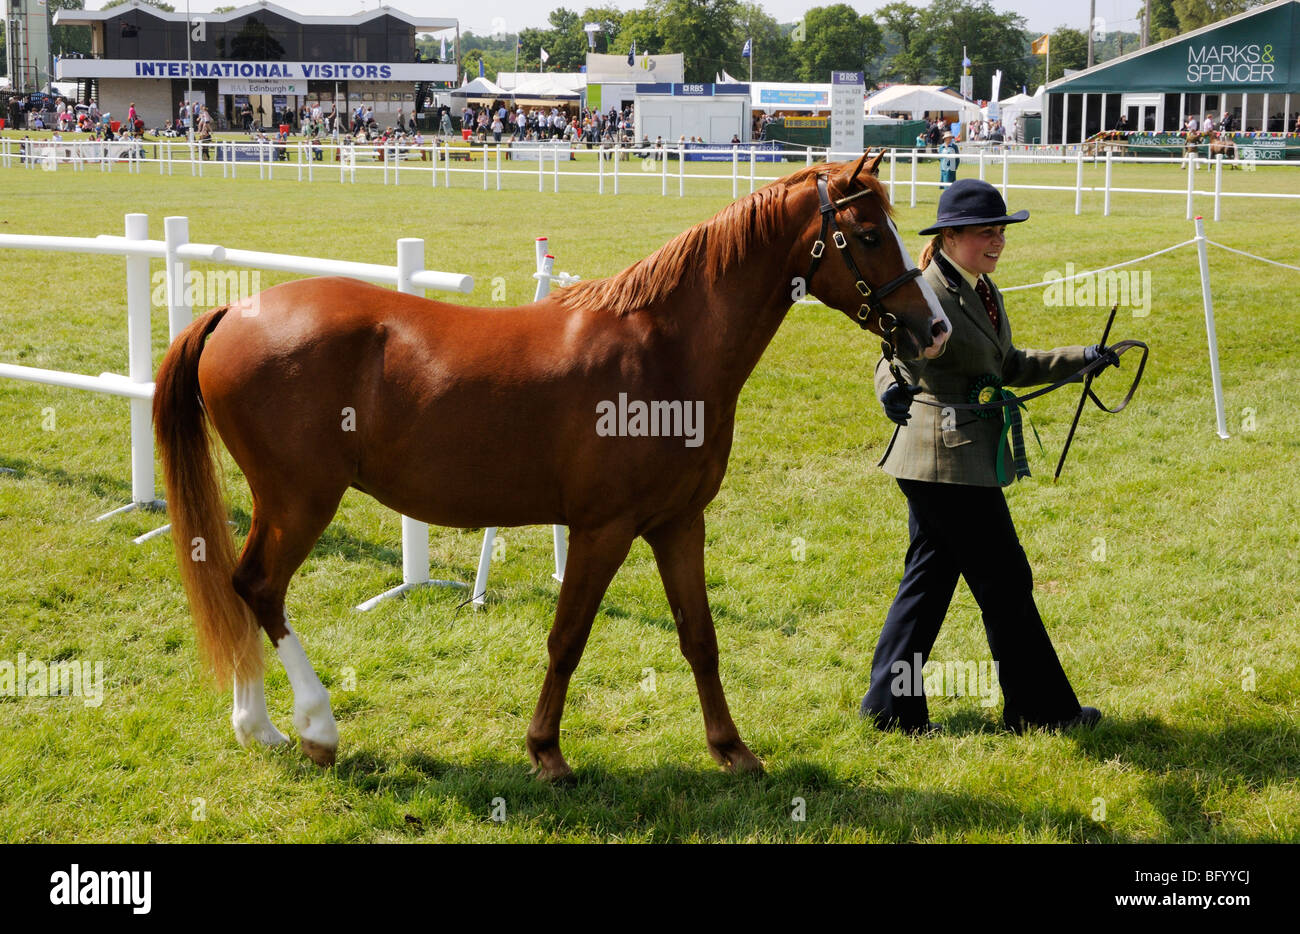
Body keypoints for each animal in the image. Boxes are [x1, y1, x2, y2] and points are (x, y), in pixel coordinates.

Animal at [152, 151, 952, 780]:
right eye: (869, 234)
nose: (935, 329)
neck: (664, 349)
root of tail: (233, 313)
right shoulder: (604, 529)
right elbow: (567, 639)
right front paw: (546, 751)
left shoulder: (677, 524)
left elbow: (699, 637)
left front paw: (732, 749)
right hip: (300, 500)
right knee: (260, 588)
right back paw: (314, 728)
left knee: (242, 589)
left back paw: (259, 729)